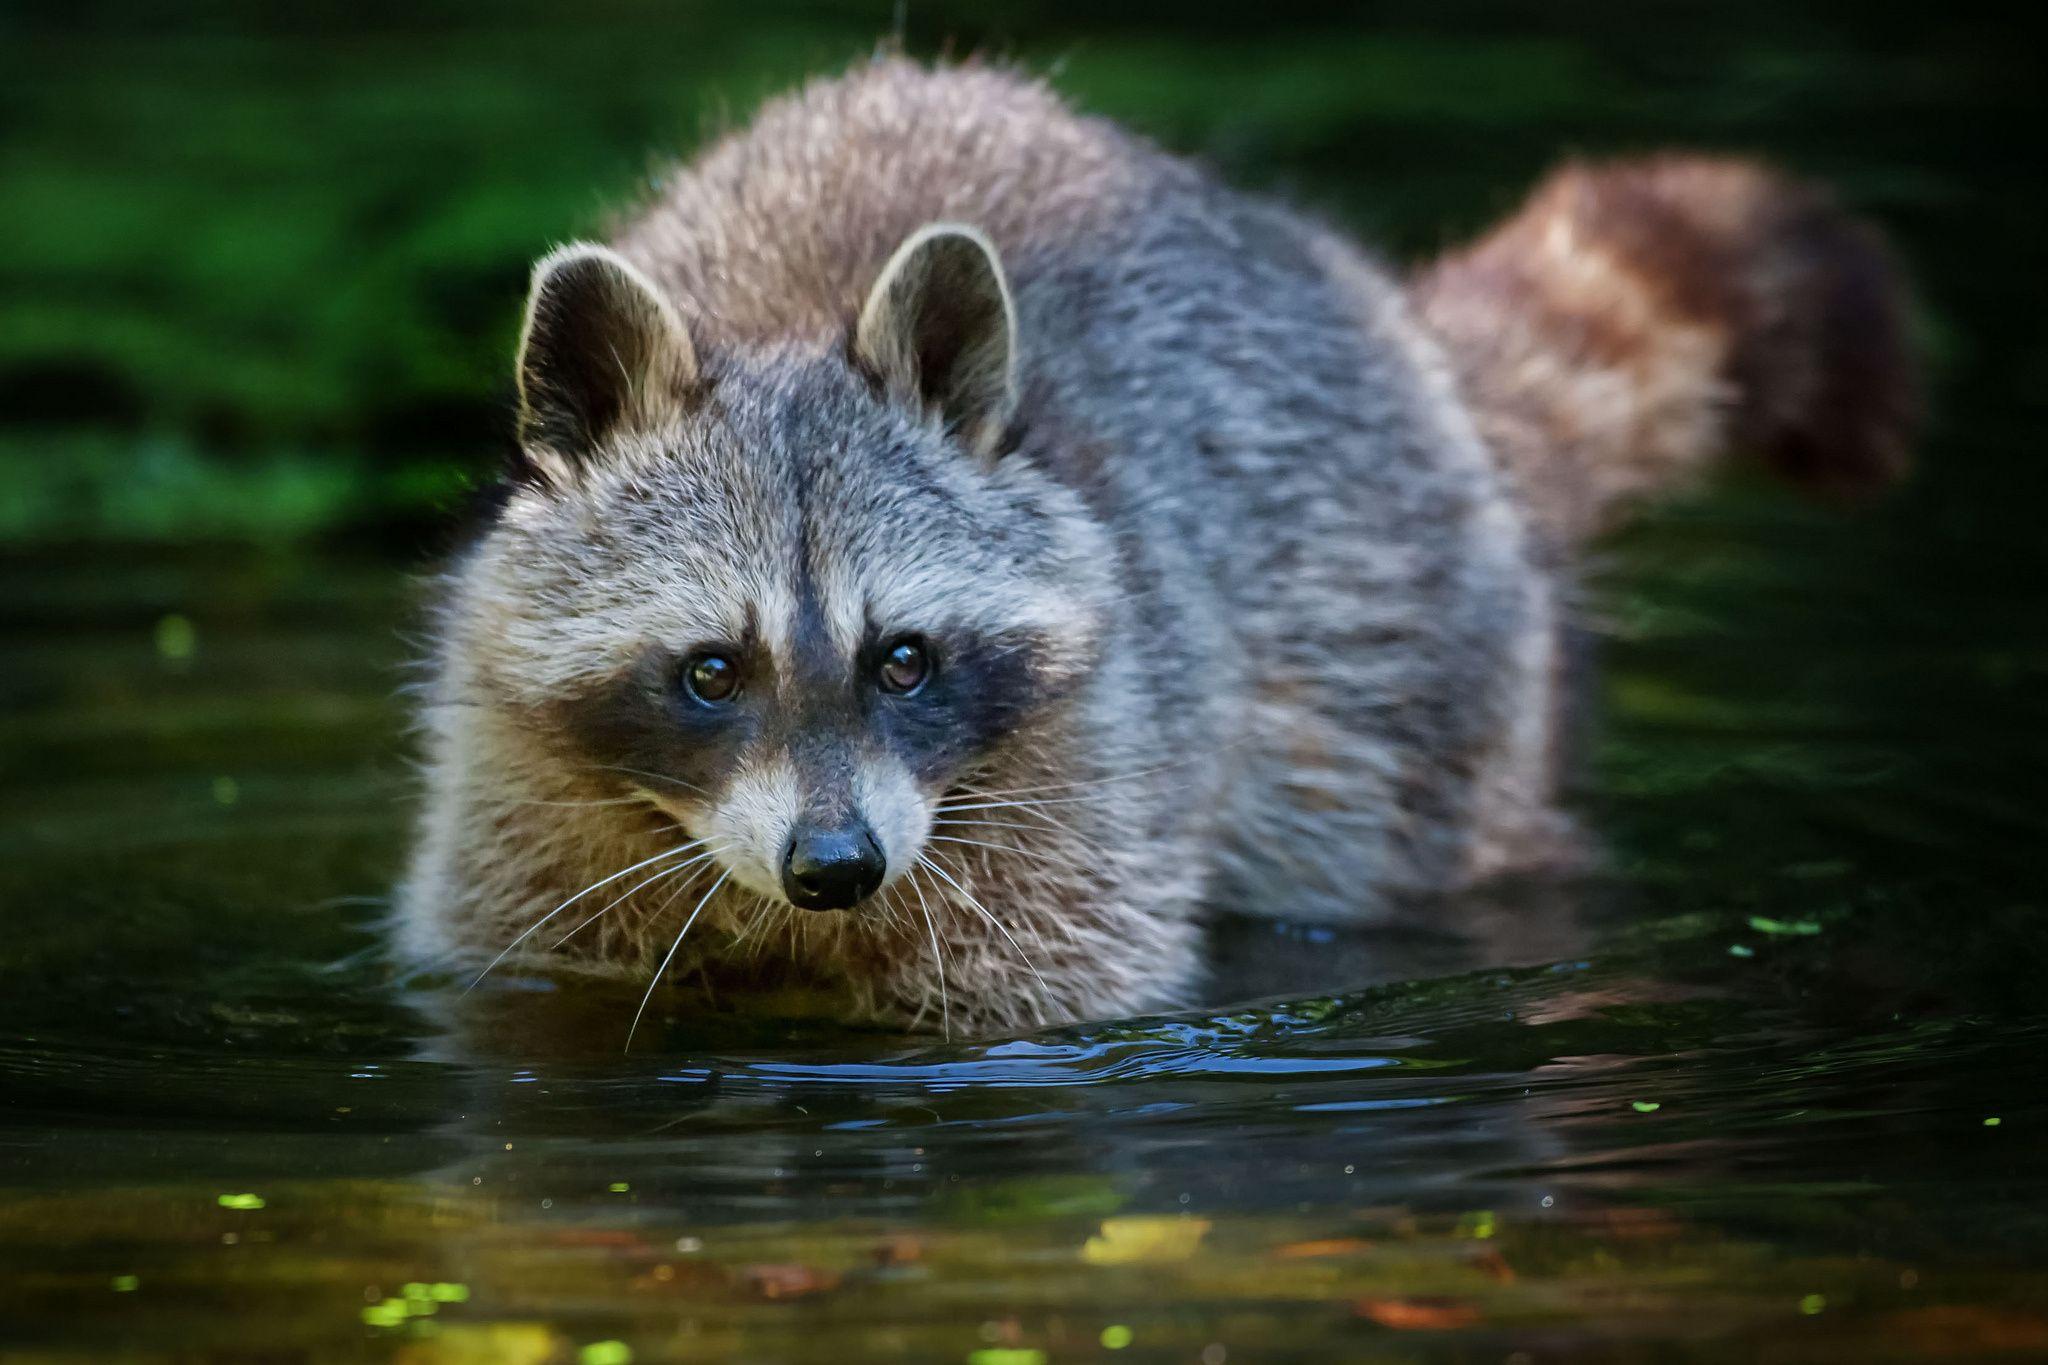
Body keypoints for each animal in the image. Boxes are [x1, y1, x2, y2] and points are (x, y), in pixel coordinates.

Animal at [399, 58, 1915, 1036]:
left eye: (904, 658)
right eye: (714, 669)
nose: (838, 867)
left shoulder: (1083, 787)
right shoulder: (521, 806)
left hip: (1408, 652)